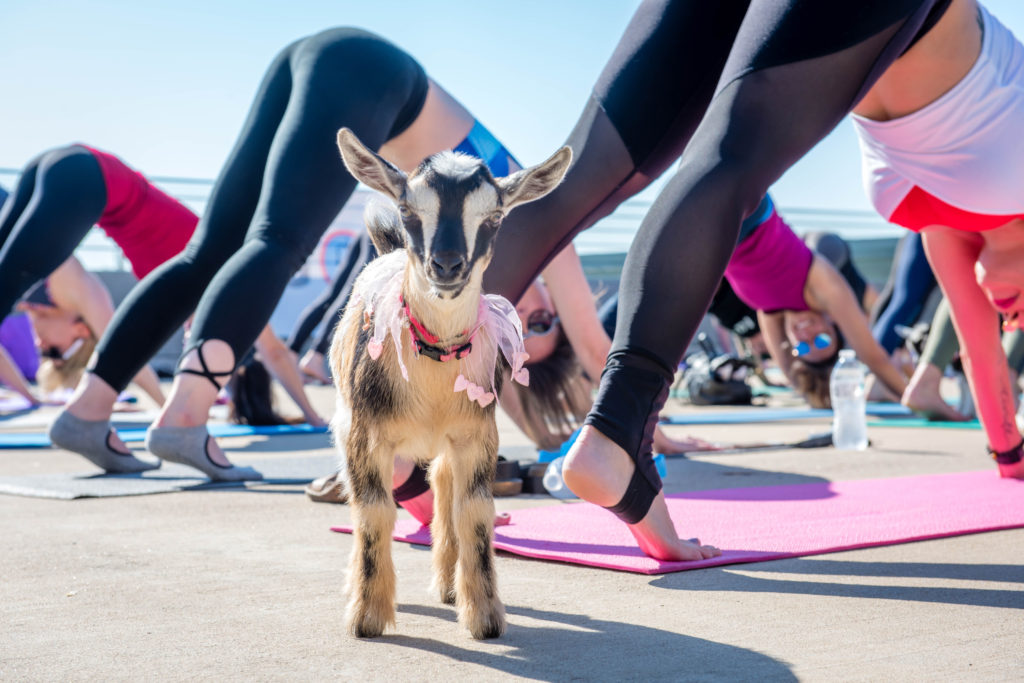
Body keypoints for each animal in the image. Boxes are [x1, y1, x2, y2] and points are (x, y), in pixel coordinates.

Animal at [331, 128, 571, 639]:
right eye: (407, 209)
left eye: (495, 217)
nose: (446, 265)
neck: (435, 359)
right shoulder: (365, 435)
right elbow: (373, 511)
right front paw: (367, 616)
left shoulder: (477, 434)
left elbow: (474, 515)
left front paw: (484, 617)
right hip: (345, 422)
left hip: (448, 441)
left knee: (442, 484)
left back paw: (446, 583)